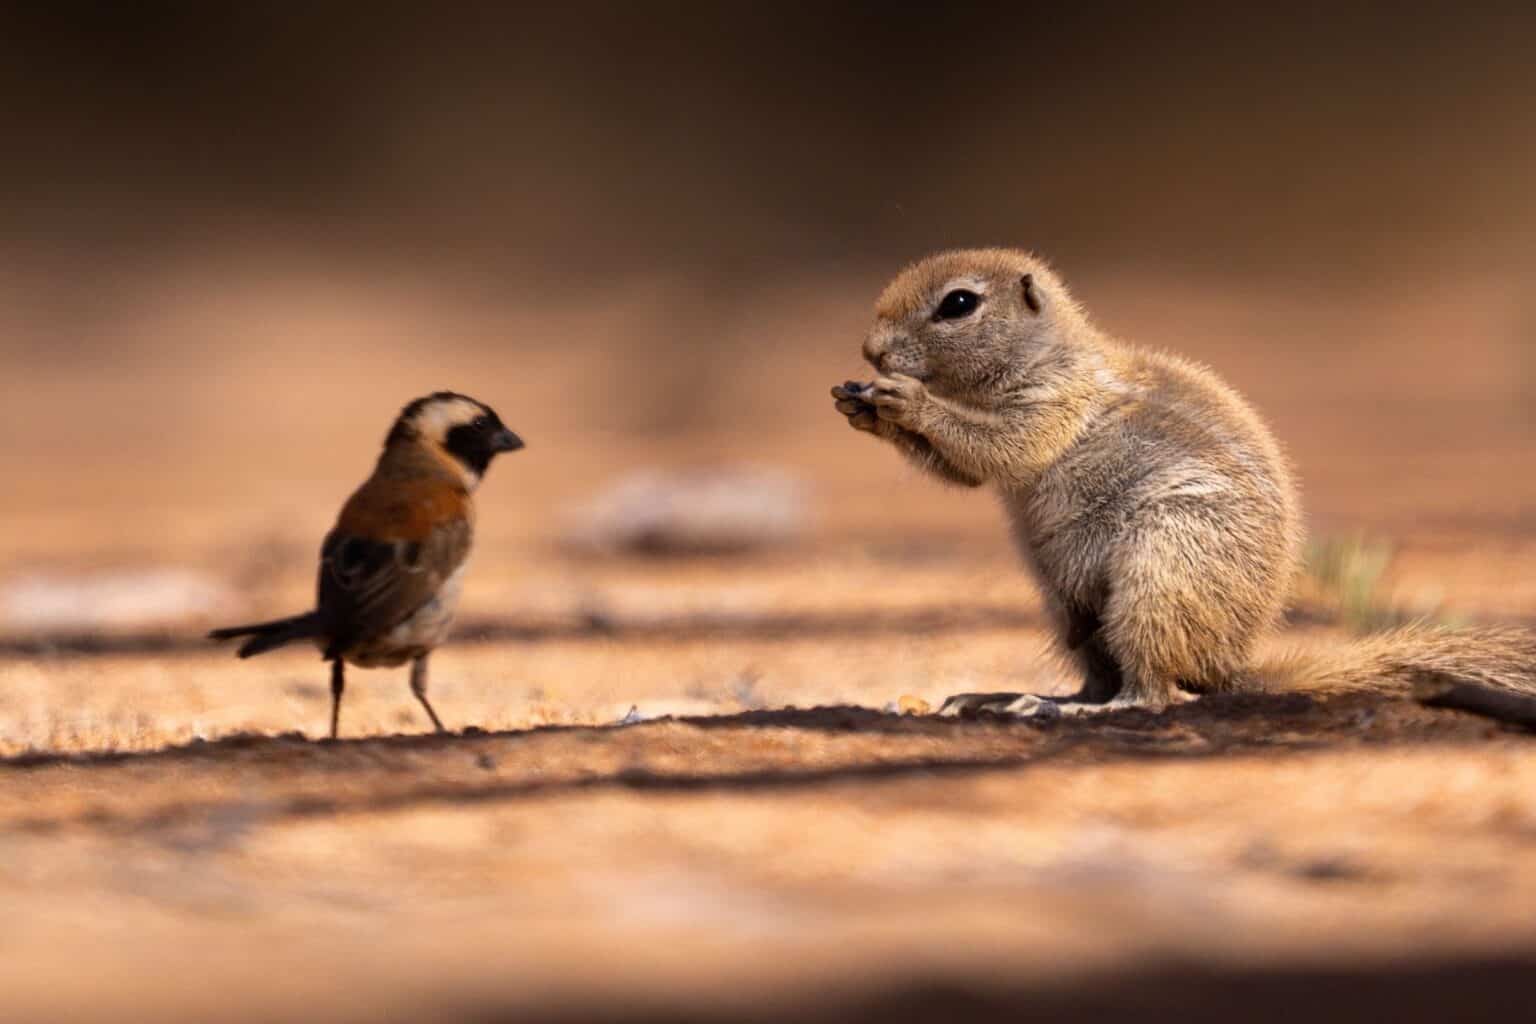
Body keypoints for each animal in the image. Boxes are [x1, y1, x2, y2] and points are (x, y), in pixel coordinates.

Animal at [831, 248, 1536, 716]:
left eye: (958, 303)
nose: (871, 352)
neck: (1053, 355)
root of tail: (1227, 664)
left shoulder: (1053, 405)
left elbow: (997, 448)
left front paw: (903, 400)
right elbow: (961, 468)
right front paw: (860, 407)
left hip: (1157, 577)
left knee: (1151, 692)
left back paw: (1071, 708)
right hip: (1071, 612)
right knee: (1103, 675)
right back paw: (1009, 697)